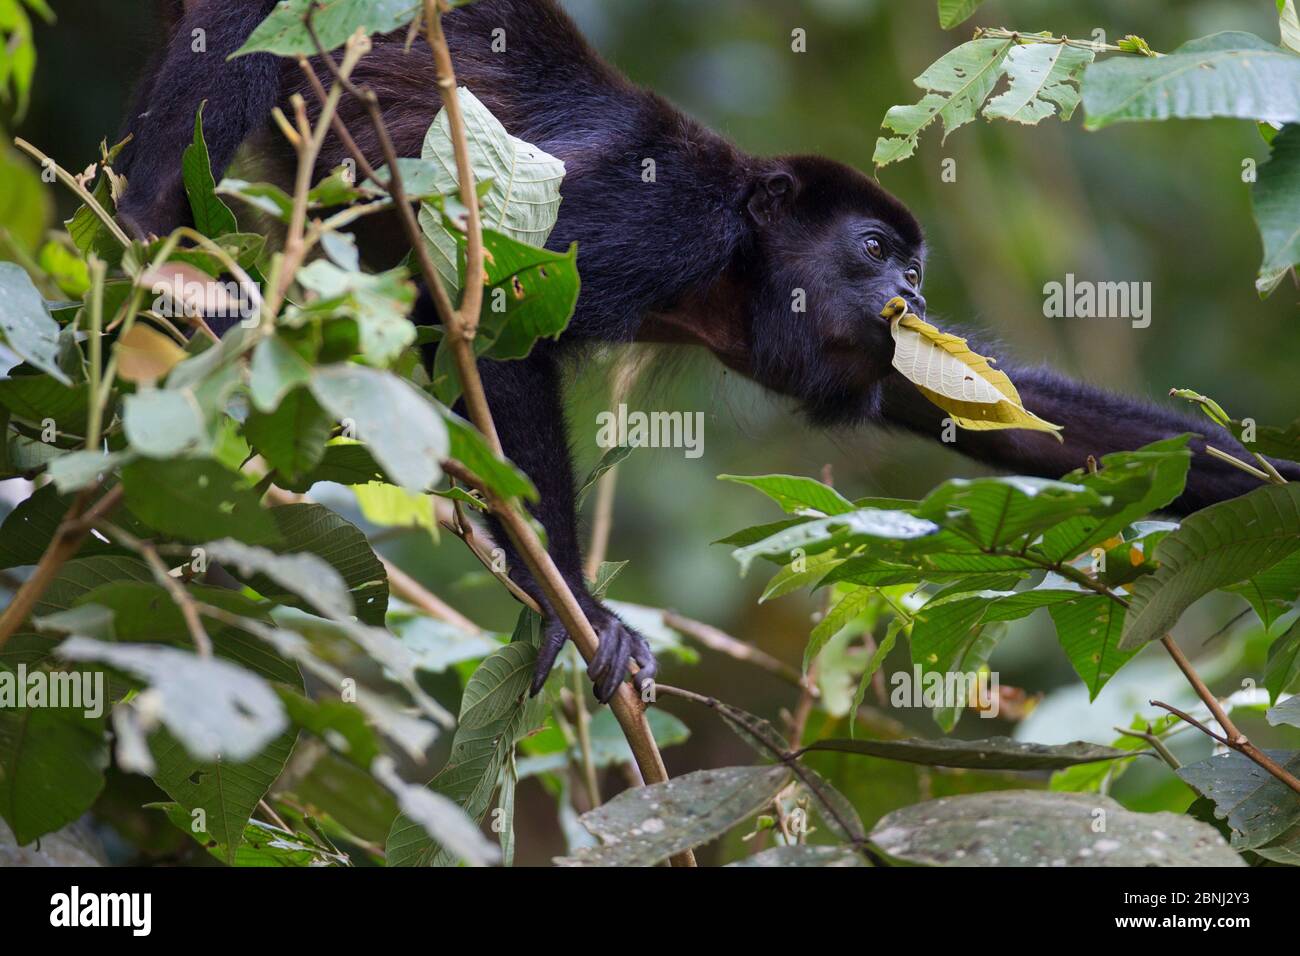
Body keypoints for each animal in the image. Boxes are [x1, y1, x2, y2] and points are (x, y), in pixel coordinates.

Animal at [114, 0, 1299, 703]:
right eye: (876, 250)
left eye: (915, 267)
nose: (915, 292)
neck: (733, 261)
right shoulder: (656, 218)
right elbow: (497, 328)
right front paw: (579, 607)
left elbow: (1015, 420)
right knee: (223, 59)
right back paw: (146, 244)